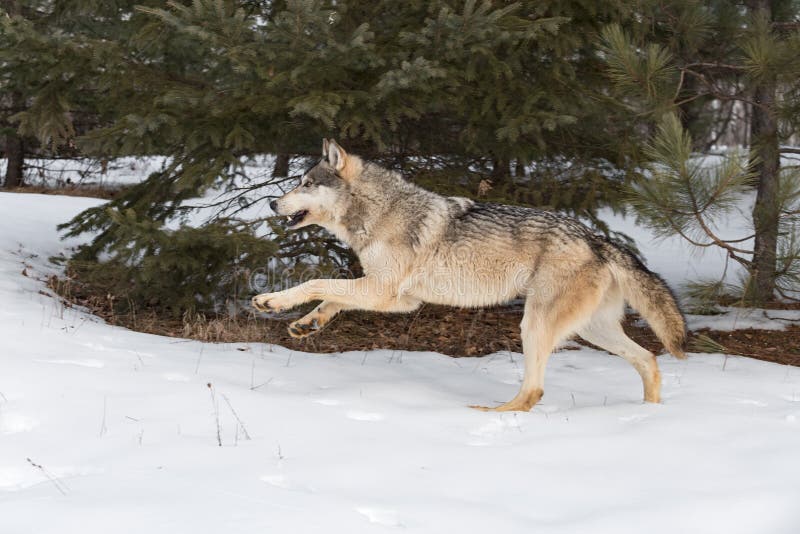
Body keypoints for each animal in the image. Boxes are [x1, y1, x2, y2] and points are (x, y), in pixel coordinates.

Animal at [253, 139, 687, 411]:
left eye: (305, 184)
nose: (272, 203)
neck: (380, 212)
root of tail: (597, 239)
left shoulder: (384, 291)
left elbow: (316, 284)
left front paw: (271, 301)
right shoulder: (394, 296)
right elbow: (330, 298)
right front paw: (307, 325)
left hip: (535, 326)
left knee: (534, 391)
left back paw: (486, 414)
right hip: (593, 331)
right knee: (649, 359)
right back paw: (648, 415)